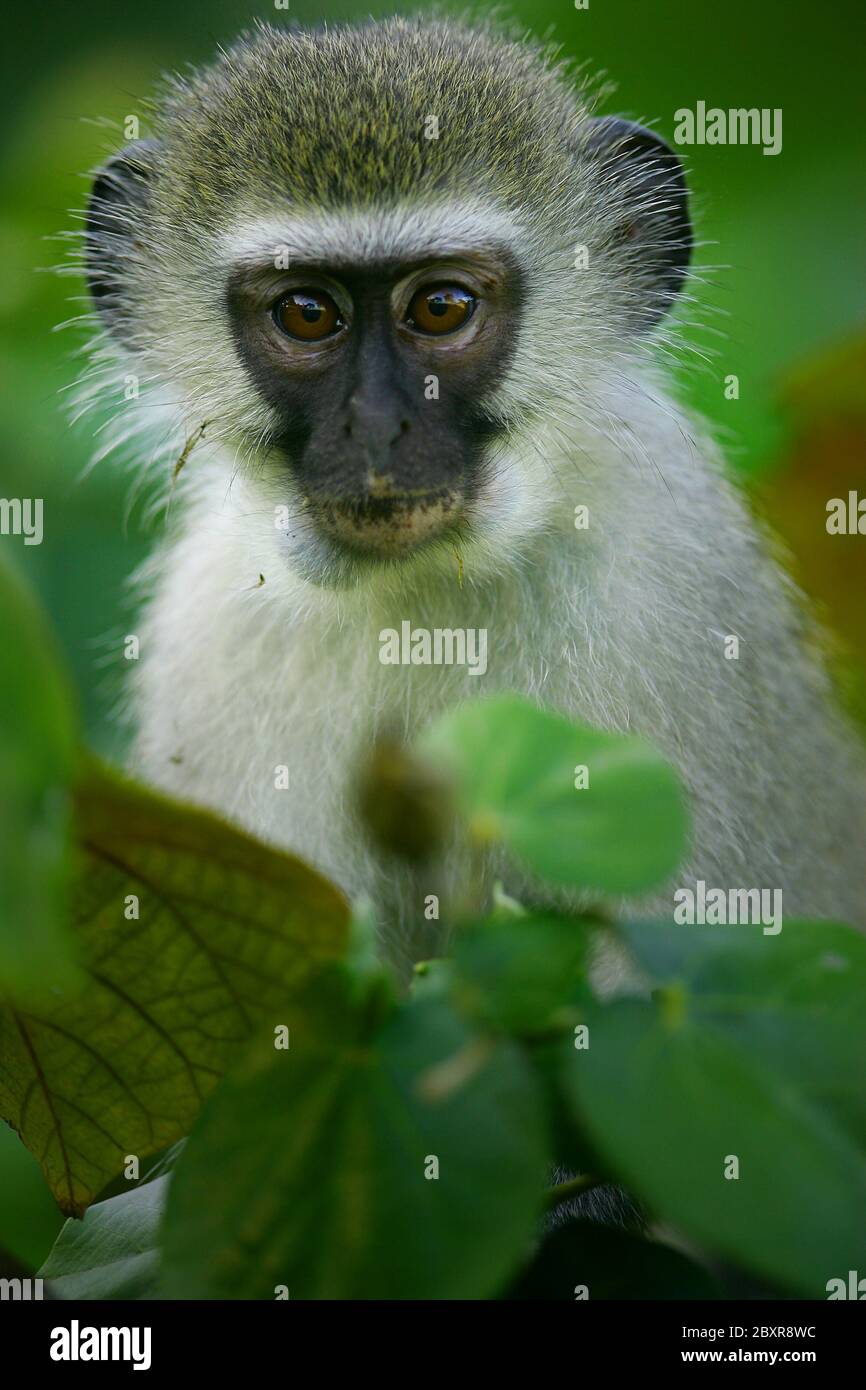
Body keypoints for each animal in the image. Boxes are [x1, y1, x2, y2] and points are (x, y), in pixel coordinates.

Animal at [78, 16, 866, 985]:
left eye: (442, 307)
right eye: (307, 313)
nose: (377, 427)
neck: (420, 591)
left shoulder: (663, 585)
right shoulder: (210, 637)